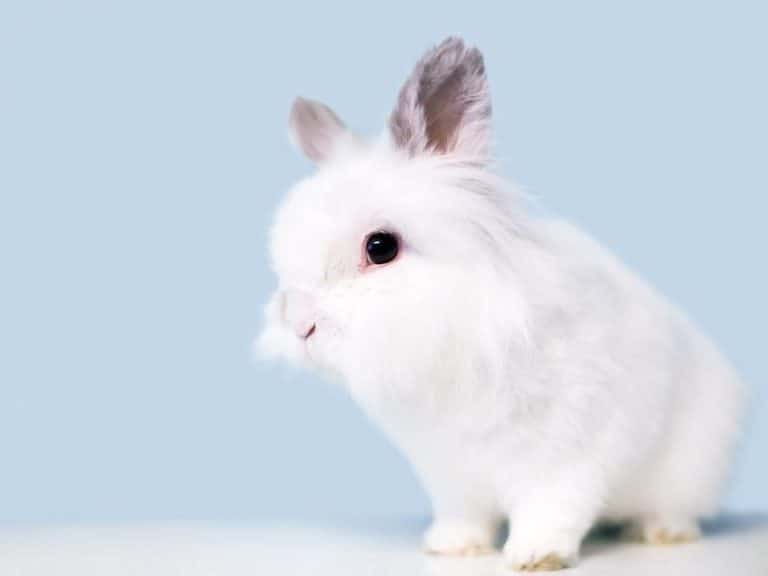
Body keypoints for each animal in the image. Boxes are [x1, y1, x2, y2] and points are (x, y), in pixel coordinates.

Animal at [259, 37, 745, 571]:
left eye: (381, 247)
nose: (301, 326)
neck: (459, 341)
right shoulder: (452, 476)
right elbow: (464, 514)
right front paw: (451, 546)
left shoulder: (566, 455)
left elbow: (553, 507)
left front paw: (535, 556)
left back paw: (661, 533)